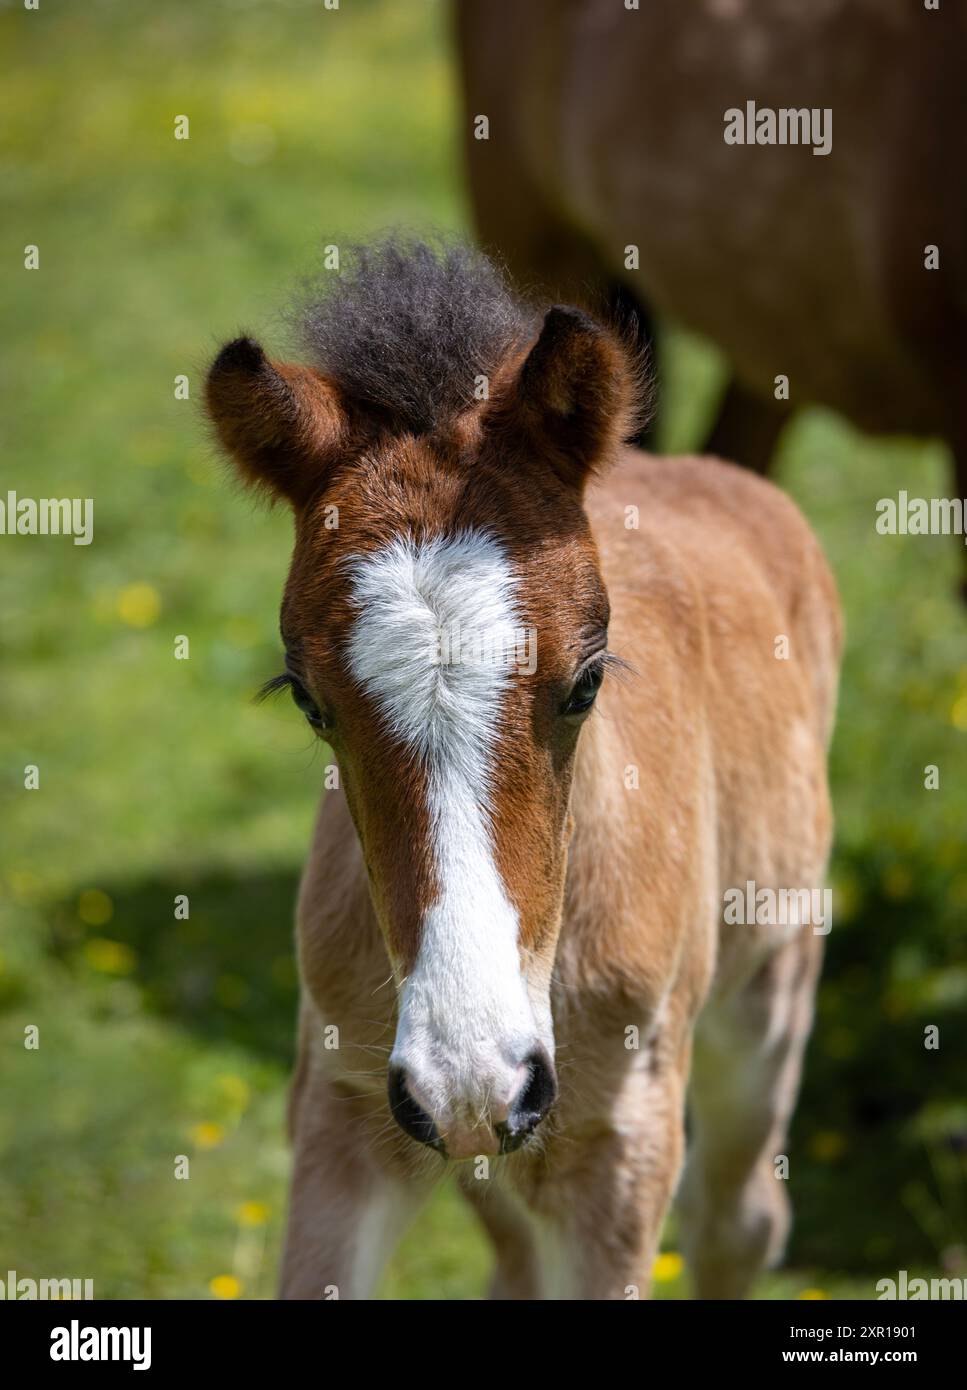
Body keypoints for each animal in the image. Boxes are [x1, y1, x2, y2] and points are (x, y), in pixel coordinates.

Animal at [206, 239, 841, 1300]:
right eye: (307, 702)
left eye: (585, 682)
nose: (474, 1076)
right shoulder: (343, 1110)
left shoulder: (619, 1150)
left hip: (767, 995)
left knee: (740, 1221)